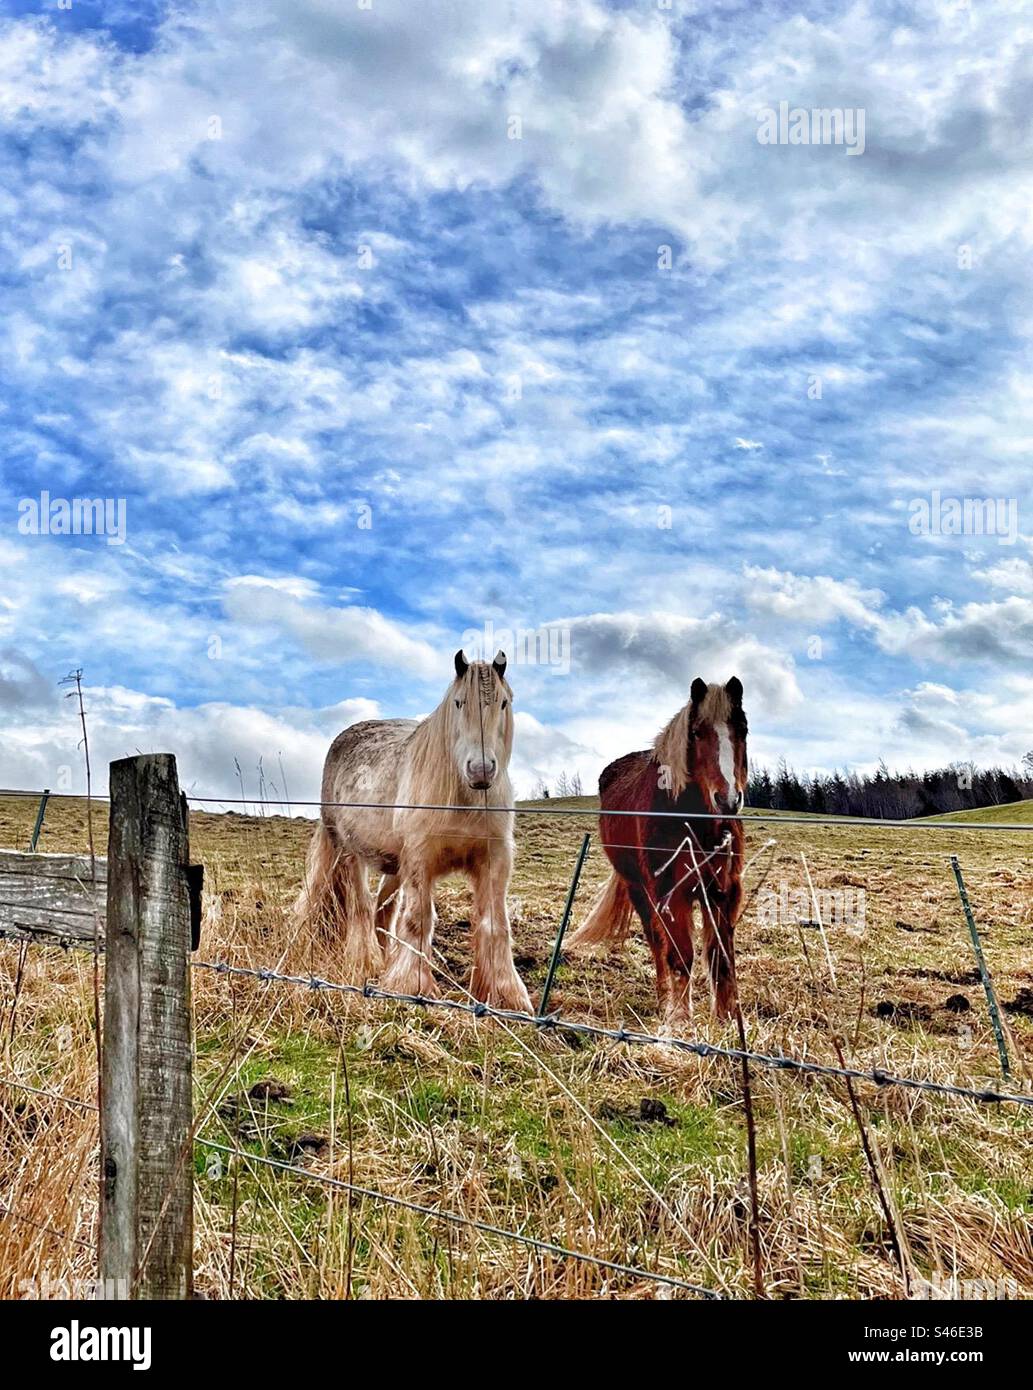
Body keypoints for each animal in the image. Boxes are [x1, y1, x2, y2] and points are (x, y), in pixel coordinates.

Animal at [294, 650, 532, 1012]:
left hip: (394, 865)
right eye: (459, 703)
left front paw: (506, 996)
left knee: (382, 910)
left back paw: (383, 960)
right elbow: (419, 918)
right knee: (360, 907)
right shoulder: (420, 859)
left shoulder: (494, 858)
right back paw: (365, 962)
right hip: (349, 853)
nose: (480, 770)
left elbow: (495, 925)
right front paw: (412, 985)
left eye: (504, 703)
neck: (462, 797)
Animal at [567, 677, 748, 1031]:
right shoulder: (670, 892)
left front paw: (727, 1021)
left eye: (743, 729)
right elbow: (680, 956)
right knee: (655, 943)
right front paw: (679, 1020)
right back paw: (664, 999)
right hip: (639, 889)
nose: (728, 800)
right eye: (697, 733)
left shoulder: (723, 892)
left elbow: (720, 958)